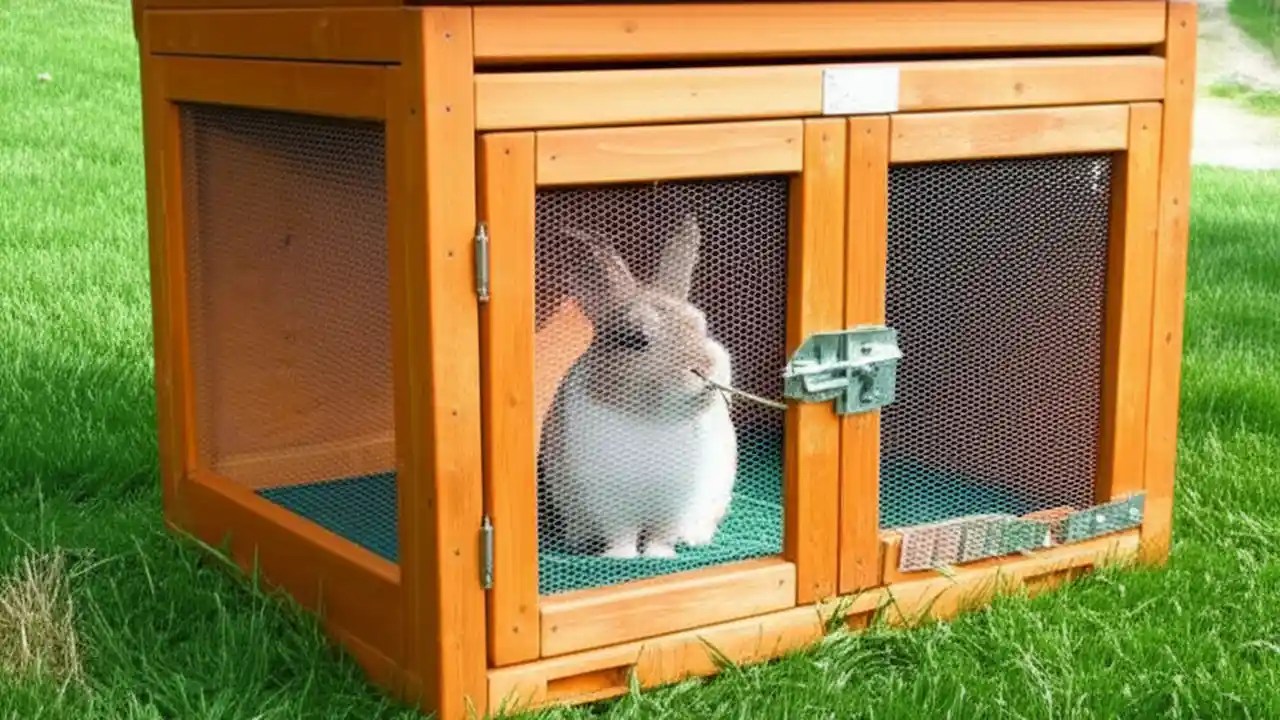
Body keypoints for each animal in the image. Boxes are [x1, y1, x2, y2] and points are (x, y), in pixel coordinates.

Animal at [537, 214, 738, 560]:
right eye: (635, 340)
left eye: (701, 326)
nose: (705, 368)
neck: (653, 421)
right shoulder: (612, 501)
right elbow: (623, 533)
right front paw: (623, 556)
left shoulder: (674, 502)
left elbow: (661, 533)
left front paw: (659, 555)